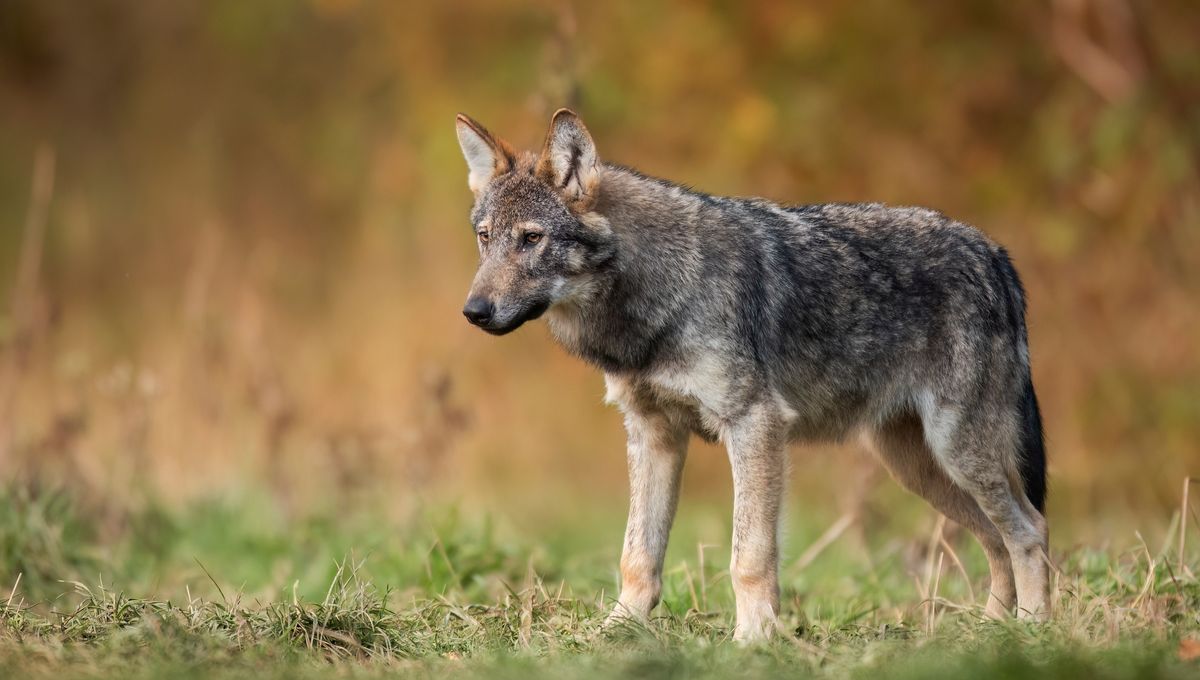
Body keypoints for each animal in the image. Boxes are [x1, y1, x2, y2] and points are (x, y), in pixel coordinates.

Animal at [454, 109, 1049, 642]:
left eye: (531, 239)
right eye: (485, 237)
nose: (474, 311)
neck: (658, 296)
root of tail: (994, 253)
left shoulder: (755, 426)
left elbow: (750, 556)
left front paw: (752, 640)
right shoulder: (652, 434)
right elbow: (637, 555)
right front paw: (614, 632)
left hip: (957, 453)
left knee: (1029, 531)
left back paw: (1032, 630)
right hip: (918, 468)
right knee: (997, 539)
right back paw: (992, 631)